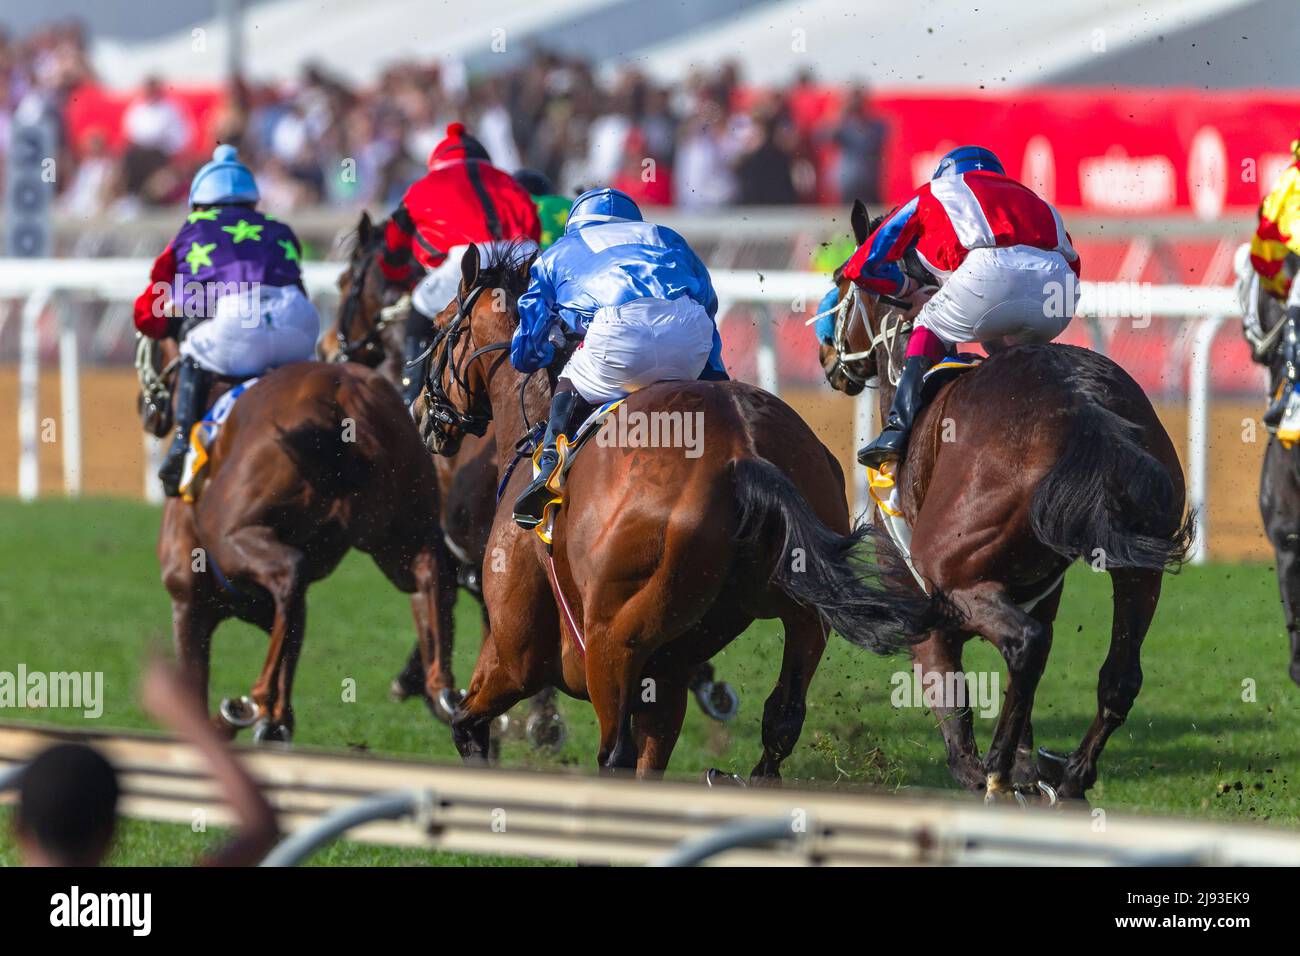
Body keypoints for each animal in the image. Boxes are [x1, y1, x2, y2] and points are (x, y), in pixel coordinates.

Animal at [137, 335, 455, 741]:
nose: (144, 407)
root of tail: (345, 391)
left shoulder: (190, 604)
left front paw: (244, 715)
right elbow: (289, 645)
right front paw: (273, 720)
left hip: (238, 538)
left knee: (290, 571)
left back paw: (252, 699)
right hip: (401, 539)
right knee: (431, 571)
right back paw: (442, 686)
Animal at [415, 242, 939, 778]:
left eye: (439, 325)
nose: (420, 411)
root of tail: (741, 449)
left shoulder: (515, 653)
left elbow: (467, 724)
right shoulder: (664, 679)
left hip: (611, 641)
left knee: (615, 753)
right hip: (802, 614)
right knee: (783, 718)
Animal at [815, 201, 1195, 800]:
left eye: (840, 281)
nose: (827, 355)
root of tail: (1083, 407)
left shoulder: (929, 612)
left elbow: (957, 720)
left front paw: (995, 771)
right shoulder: (1034, 596)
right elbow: (1025, 701)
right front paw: (1033, 768)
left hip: (955, 571)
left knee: (1026, 647)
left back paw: (1001, 773)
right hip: (1140, 564)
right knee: (1120, 674)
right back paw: (1072, 775)